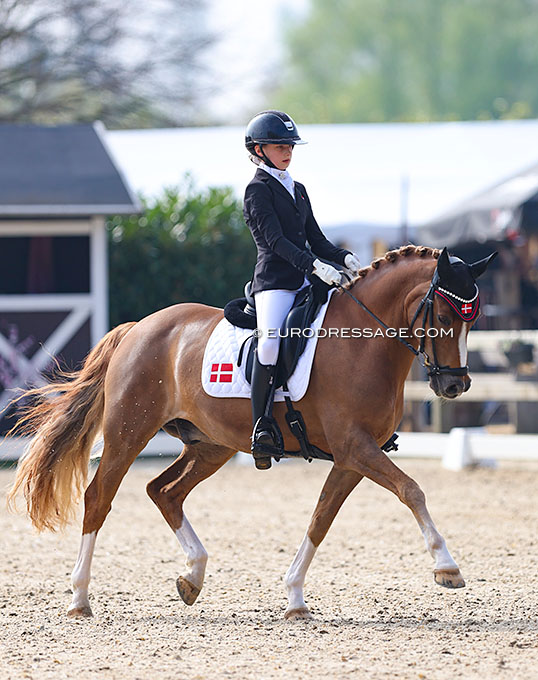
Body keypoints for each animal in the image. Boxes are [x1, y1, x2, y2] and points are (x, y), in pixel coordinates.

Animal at [7, 244, 496, 620]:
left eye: (472, 320)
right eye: (446, 316)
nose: (455, 386)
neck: (362, 342)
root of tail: (138, 327)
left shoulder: (352, 456)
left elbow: (321, 518)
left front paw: (295, 598)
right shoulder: (356, 448)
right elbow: (412, 490)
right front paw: (447, 567)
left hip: (211, 445)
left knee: (163, 491)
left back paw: (192, 576)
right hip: (129, 432)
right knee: (99, 498)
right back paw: (80, 598)